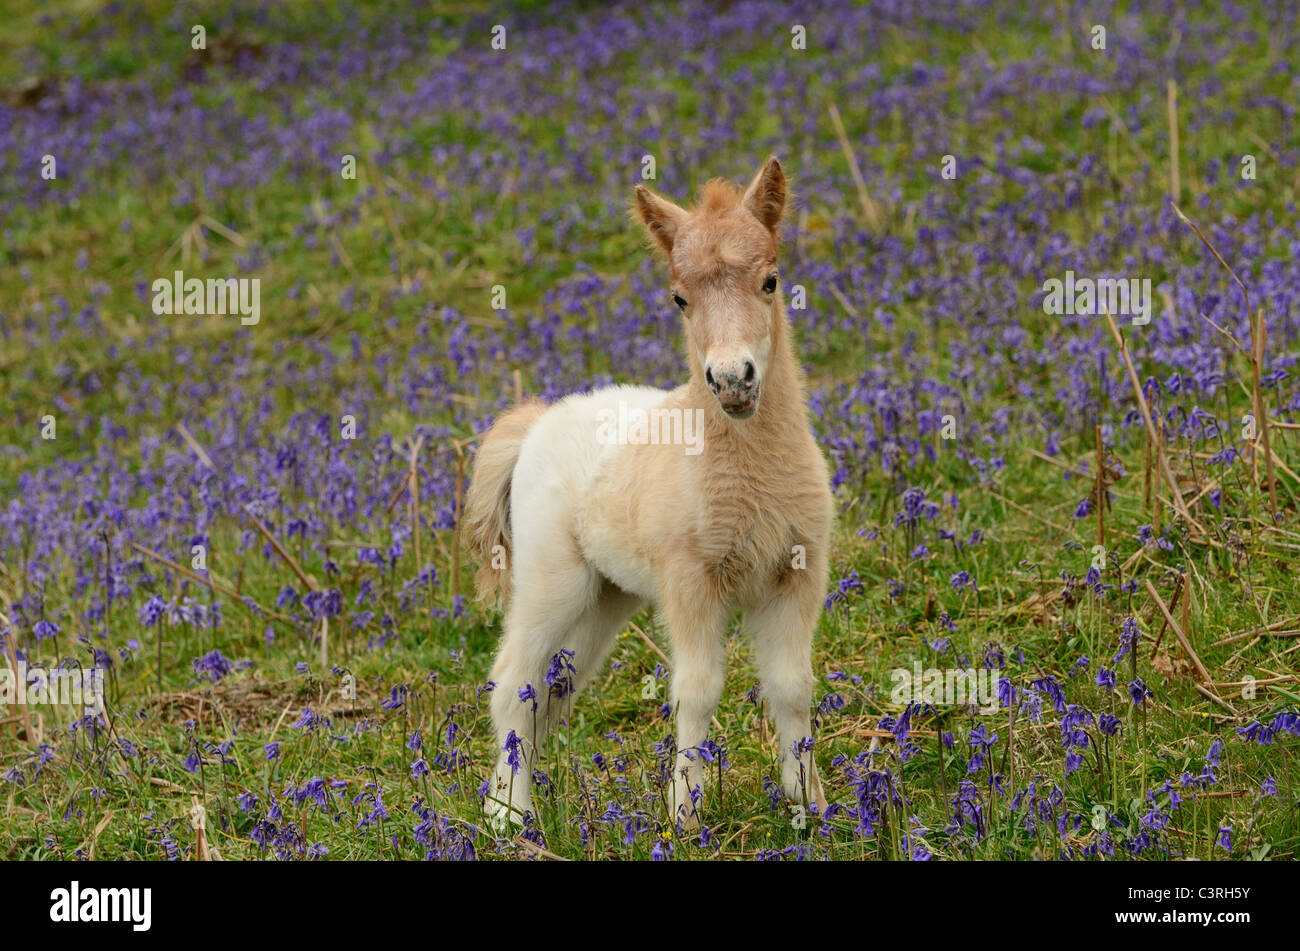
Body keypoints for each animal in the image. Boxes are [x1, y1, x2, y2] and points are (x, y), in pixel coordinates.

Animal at [465, 157, 833, 829]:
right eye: (679, 298)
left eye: (771, 281)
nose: (732, 381)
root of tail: (538, 422)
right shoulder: (690, 581)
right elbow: (696, 691)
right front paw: (685, 816)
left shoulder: (797, 574)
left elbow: (793, 686)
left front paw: (810, 808)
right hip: (552, 581)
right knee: (511, 683)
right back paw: (508, 815)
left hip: (606, 597)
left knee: (551, 693)